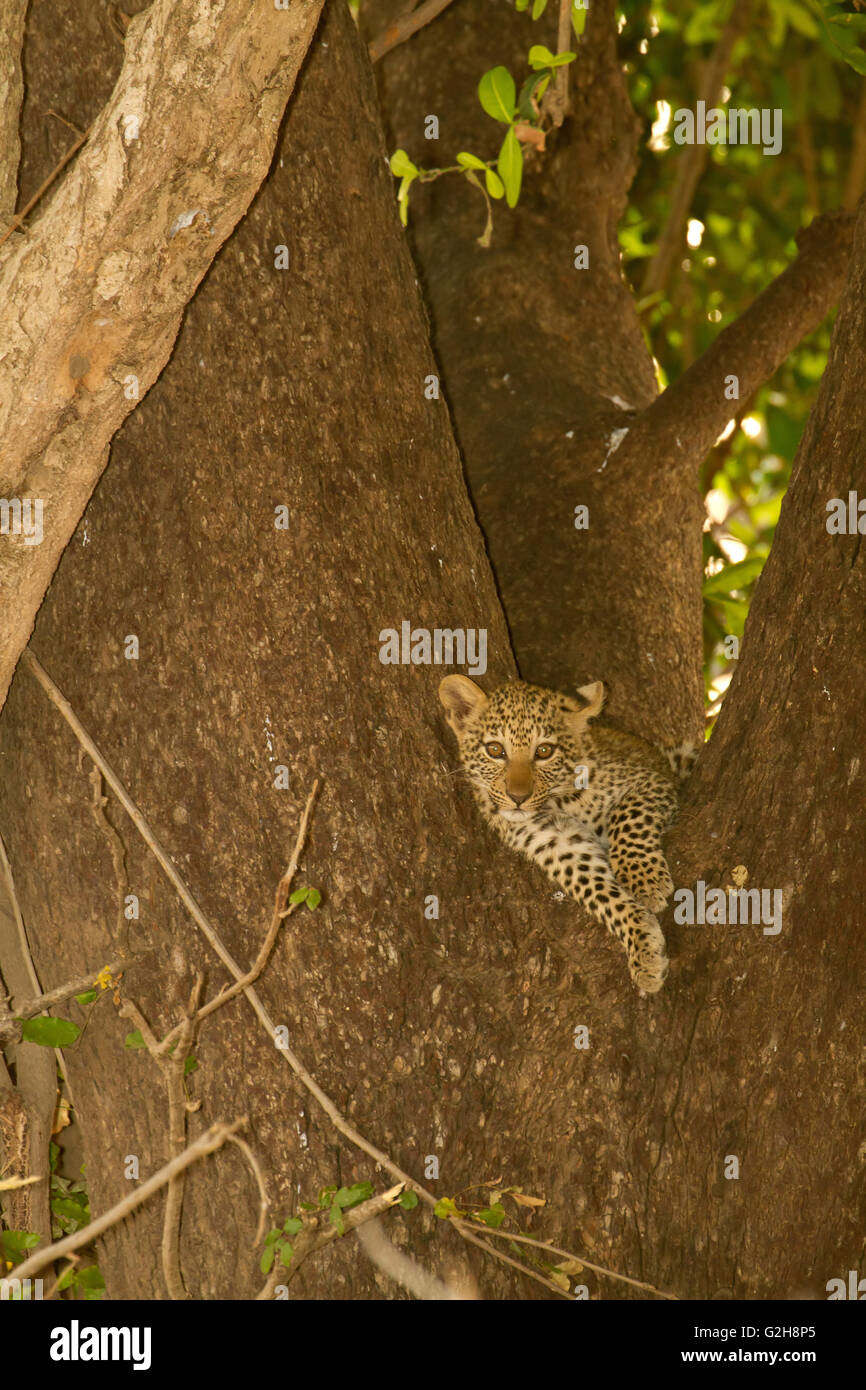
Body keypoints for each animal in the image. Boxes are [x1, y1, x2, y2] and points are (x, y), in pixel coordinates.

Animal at [439, 674, 694, 994]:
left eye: (544, 751)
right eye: (495, 750)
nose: (518, 798)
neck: (558, 799)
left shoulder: (649, 781)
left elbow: (627, 817)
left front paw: (644, 880)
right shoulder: (557, 842)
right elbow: (599, 892)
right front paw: (643, 946)